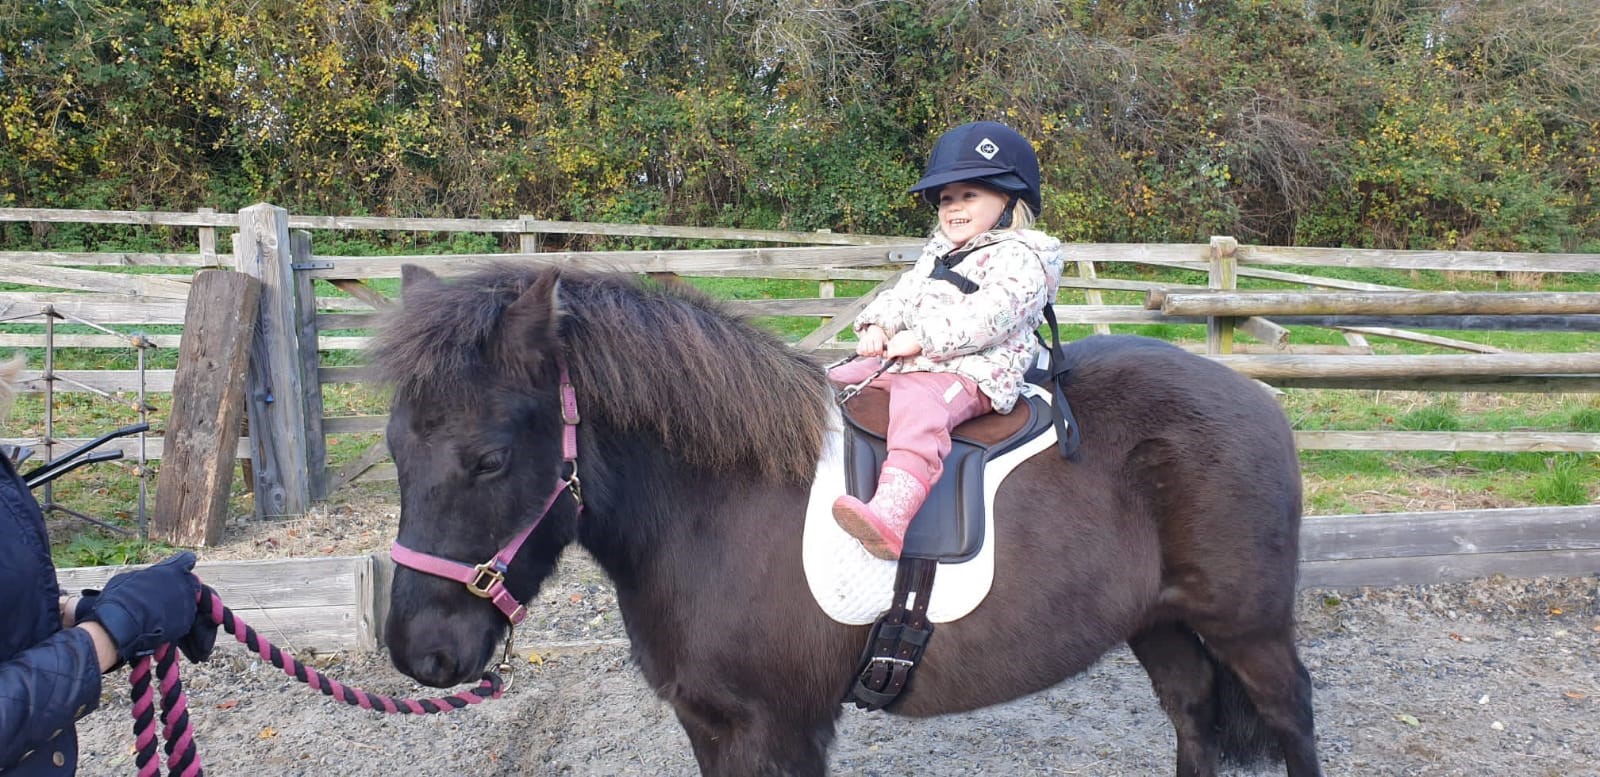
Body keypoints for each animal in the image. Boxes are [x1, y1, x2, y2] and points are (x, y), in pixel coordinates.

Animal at [374, 262, 1323, 777]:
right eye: (394, 449)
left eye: (488, 458)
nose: (422, 653)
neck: (717, 506)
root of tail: (1260, 401)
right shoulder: (710, 723)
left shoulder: (780, 725)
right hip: (1160, 621)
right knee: (1193, 713)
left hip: (1249, 628)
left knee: (1291, 715)